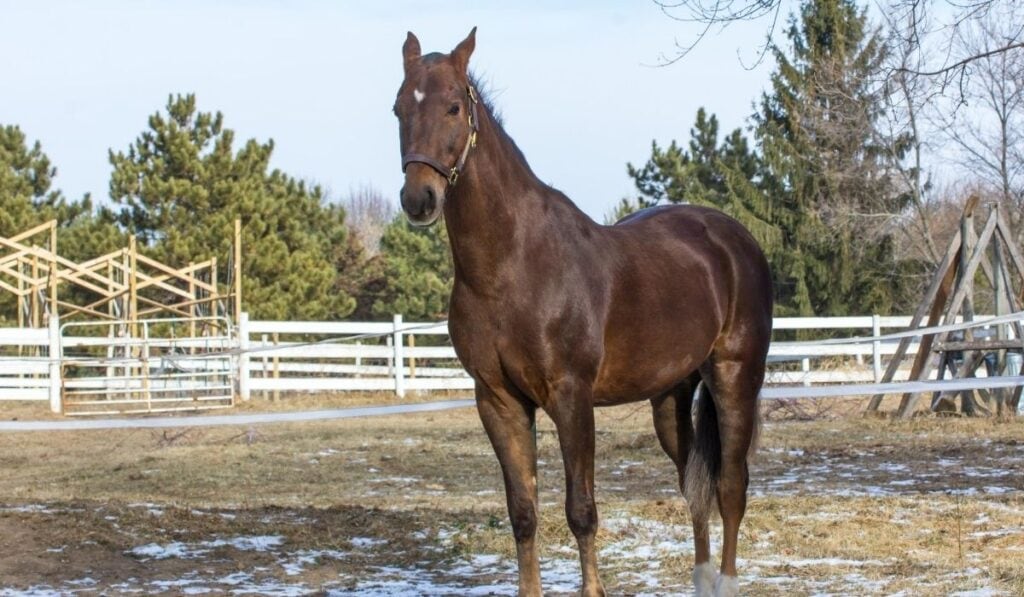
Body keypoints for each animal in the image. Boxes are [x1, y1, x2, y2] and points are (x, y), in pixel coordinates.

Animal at [393, 28, 772, 597]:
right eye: (398, 108)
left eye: (454, 107)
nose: (419, 198)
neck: (513, 264)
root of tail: (734, 240)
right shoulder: (498, 401)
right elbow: (523, 512)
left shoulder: (572, 398)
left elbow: (581, 511)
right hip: (670, 398)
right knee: (693, 486)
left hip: (735, 377)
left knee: (729, 486)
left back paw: (725, 581)